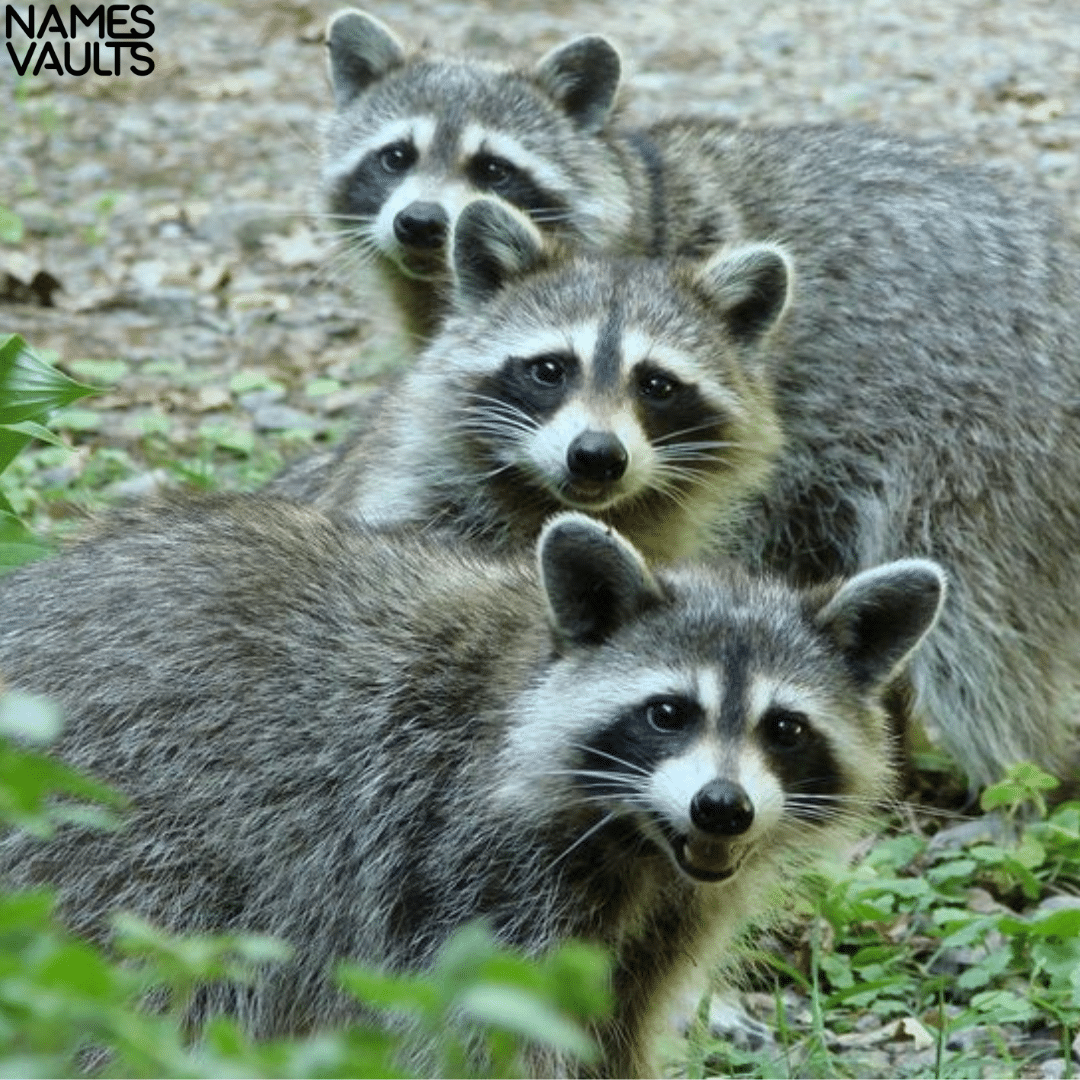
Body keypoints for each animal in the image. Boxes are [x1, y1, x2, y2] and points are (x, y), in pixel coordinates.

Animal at [0, 493, 944, 1076]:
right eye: (669, 713)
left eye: (784, 729)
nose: (723, 808)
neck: (637, 841)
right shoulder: (466, 863)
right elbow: (491, 1034)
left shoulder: (668, 916)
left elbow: (618, 1027)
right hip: (122, 848)